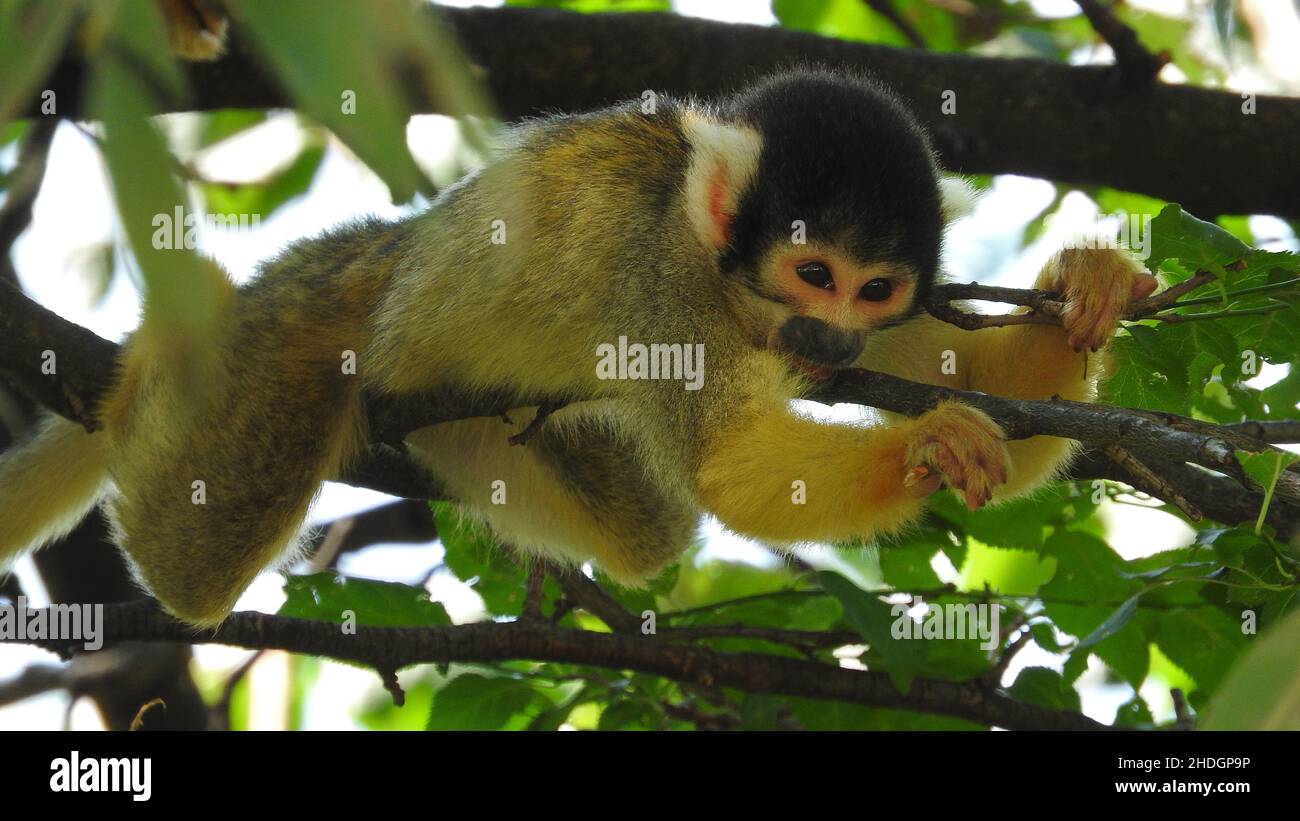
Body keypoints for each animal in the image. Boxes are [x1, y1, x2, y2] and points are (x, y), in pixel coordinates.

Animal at [0, 70, 1158, 627]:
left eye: (873, 287)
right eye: (812, 271)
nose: (831, 334)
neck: (719, 269)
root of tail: (387, 256)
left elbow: (984, 395)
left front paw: (1083, 293)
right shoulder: (661, 280)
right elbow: (731, 465)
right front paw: (926, 446)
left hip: (461, 426)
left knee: (645, 525)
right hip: (290, 336)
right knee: (194, 560)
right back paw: (157, 366)